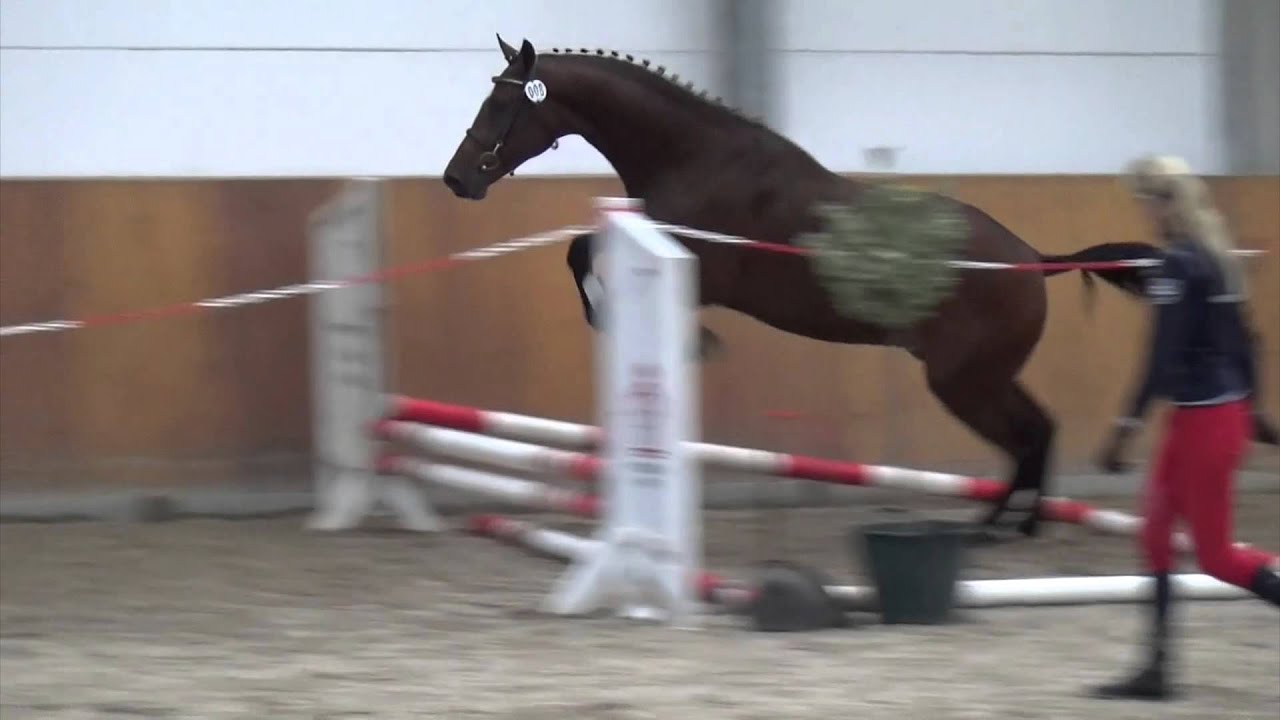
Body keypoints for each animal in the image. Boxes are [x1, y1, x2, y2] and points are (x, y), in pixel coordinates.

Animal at [442, 36, 1170, 539]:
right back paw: (1008, 526)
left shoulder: (700, 268)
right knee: (1037, 433)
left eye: (502, 102)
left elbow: (589, 255)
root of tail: (1031, 260)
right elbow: (580, 249)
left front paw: (681, 338)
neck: (698, 157)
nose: (457, 178)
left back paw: (1006, 527)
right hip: (980, 376)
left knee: (1029, 436)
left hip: (965, 379)